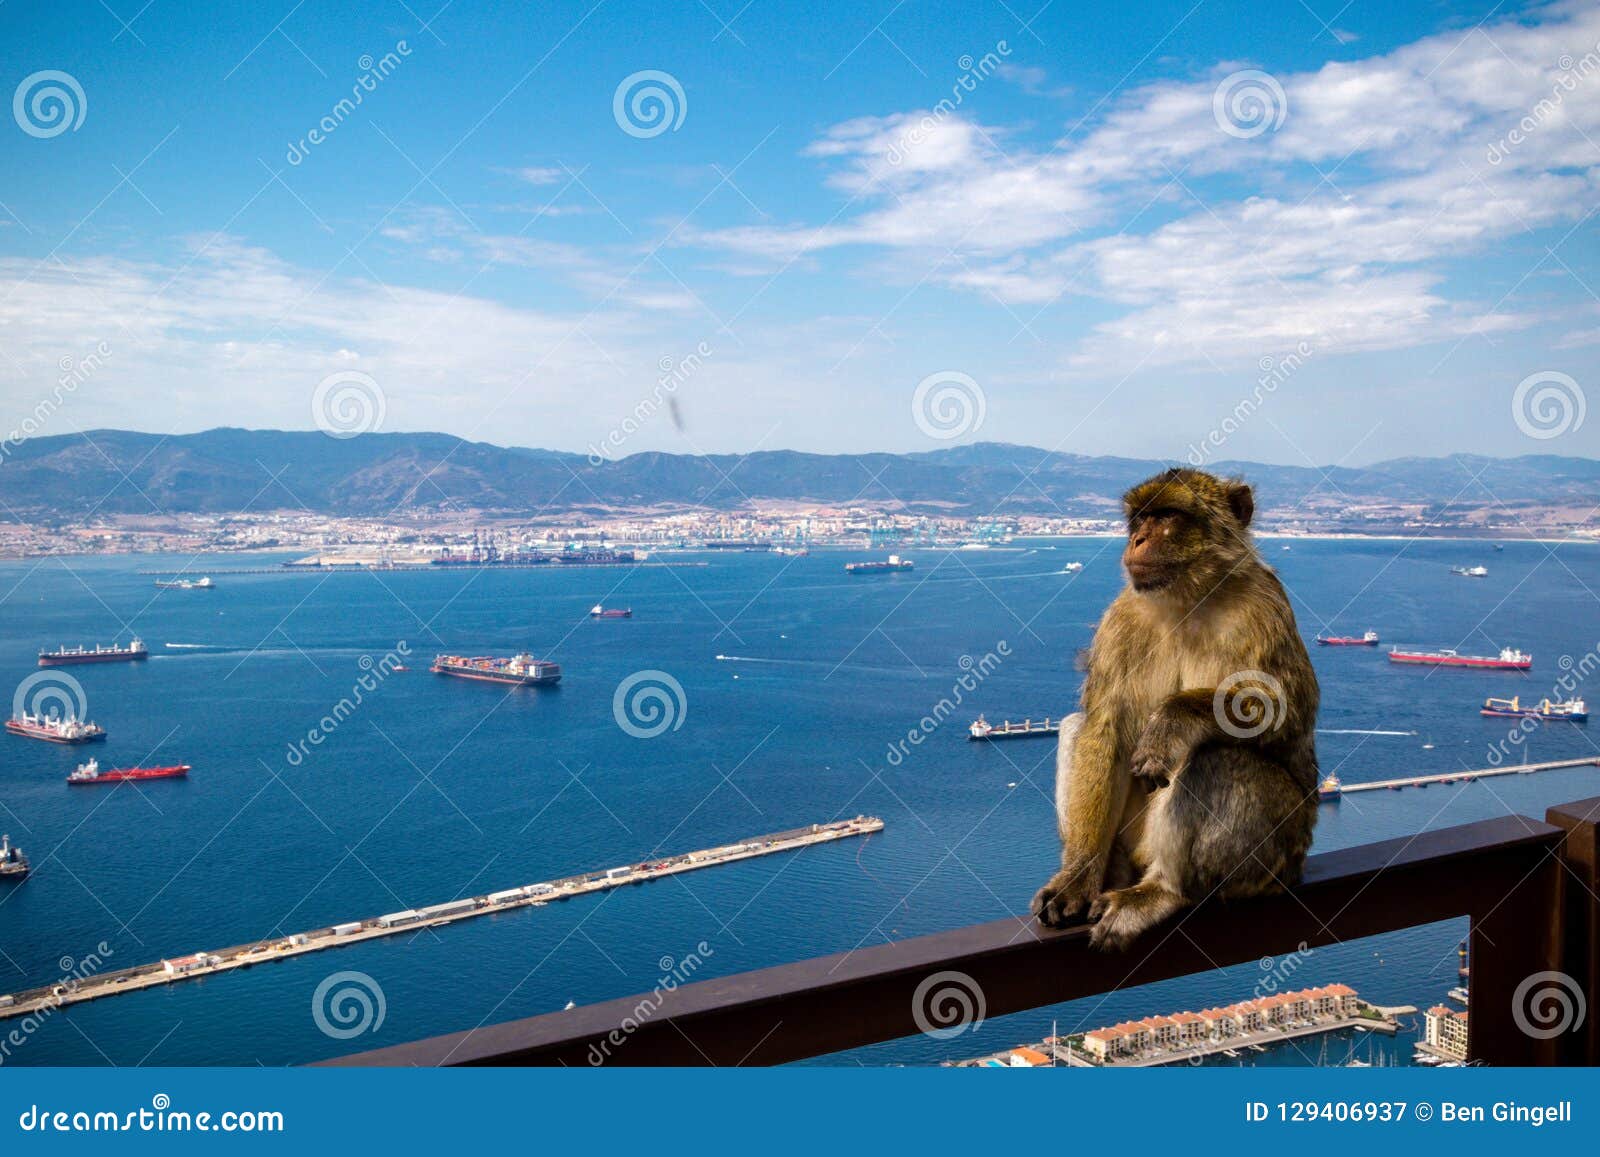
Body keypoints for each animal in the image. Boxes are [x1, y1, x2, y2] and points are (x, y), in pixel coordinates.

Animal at [1030, 467, 1320, 951]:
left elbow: (1290, 711)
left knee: (1219, 758)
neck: (1188, 601)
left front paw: (1171, 720)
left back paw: (1164, 891)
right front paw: (1077, 879)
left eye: (1166, 516)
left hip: (1280, 854)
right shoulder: (1120, 620)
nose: (1138, 539)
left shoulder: (1264, 607)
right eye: (1140, 518)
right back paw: (1108, 872)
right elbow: (1104, 728)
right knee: (1076, 727)